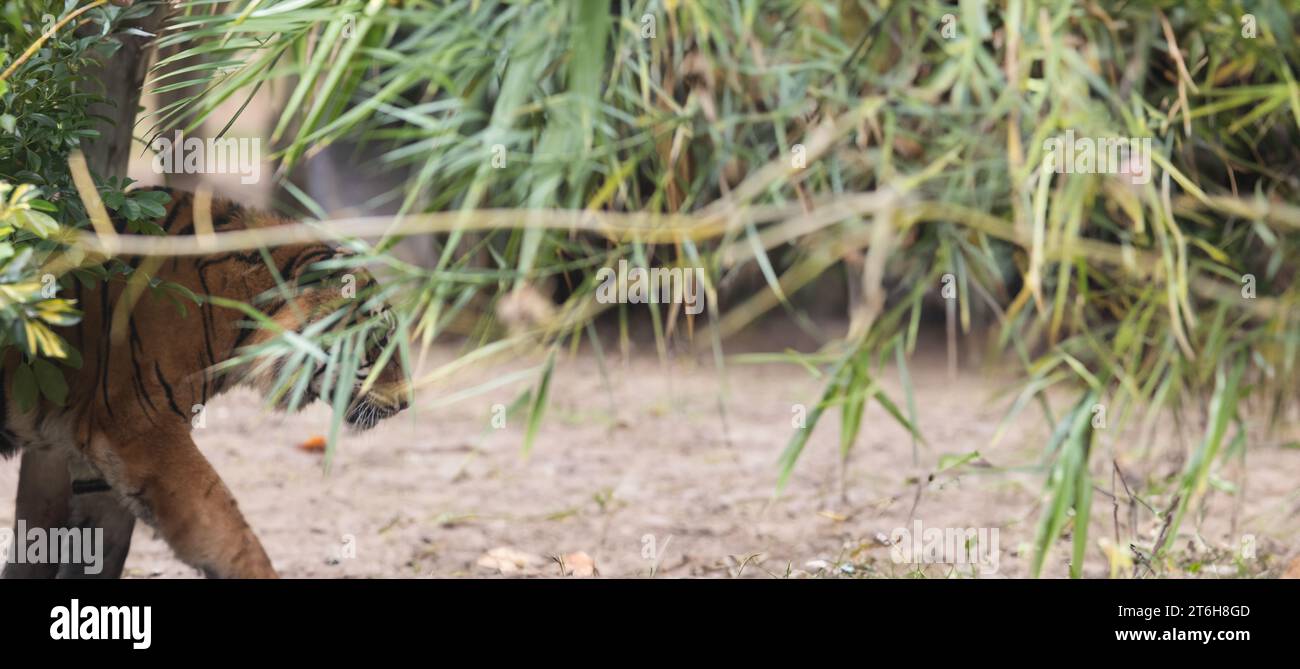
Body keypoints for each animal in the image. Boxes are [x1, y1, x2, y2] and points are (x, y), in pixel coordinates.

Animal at [0, 187, 409, 578]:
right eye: (379, 340)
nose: (407, 403)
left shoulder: (95, 452)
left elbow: (100, 545)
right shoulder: (143, 430)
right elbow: (224, 526)